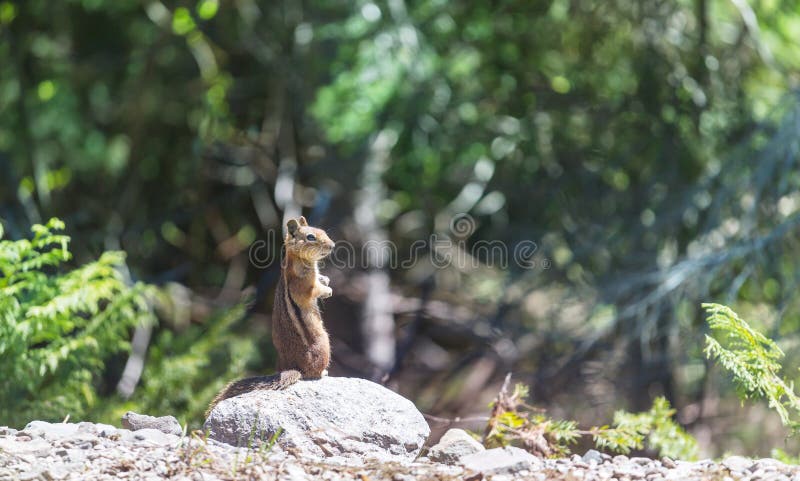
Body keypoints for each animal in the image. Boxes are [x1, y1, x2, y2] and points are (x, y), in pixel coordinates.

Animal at [205, 216, 335, 417]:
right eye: (311, 237)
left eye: (323, 231)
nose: (332, 245)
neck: (297, 258)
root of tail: (293, 367)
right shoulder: (303, 283)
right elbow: (311, 291)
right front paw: (327, 290)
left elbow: (320, 279)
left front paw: (326, 280)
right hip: (324, 345)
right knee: (311, 374)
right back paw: (322, 373)